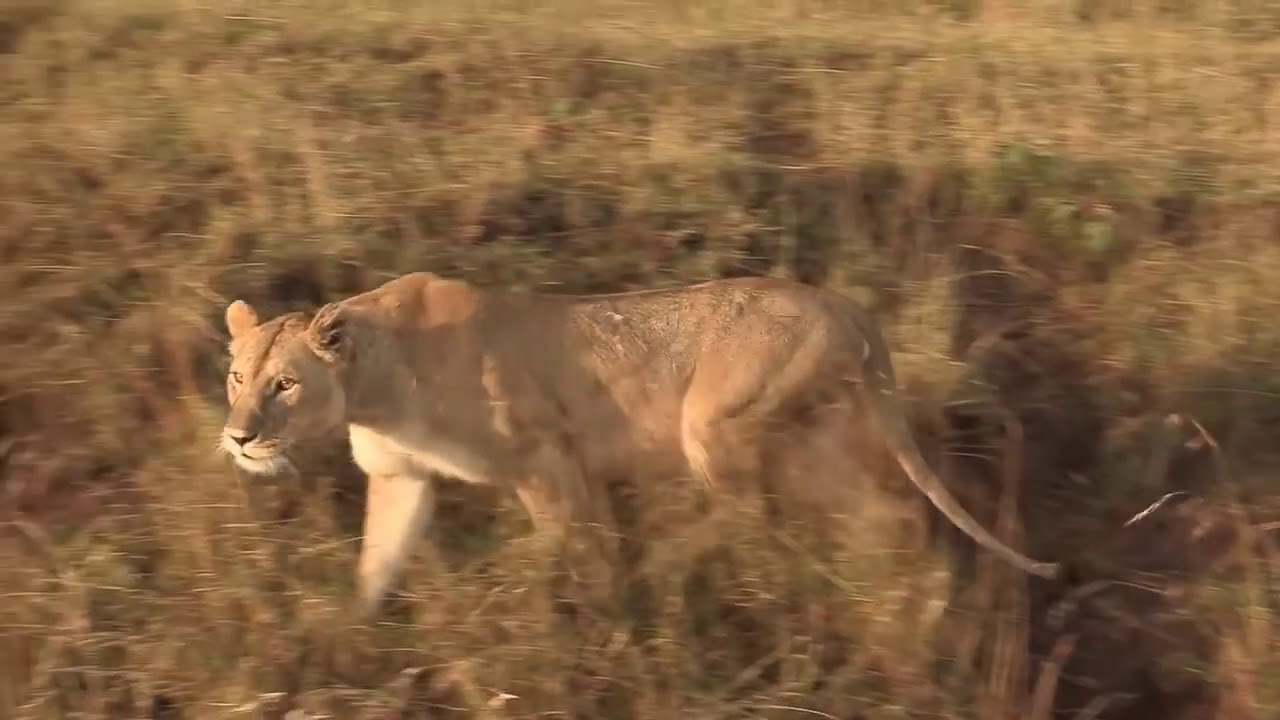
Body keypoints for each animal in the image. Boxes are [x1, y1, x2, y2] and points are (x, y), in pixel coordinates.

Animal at [219, 271, 1060, 619]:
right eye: (235, 376)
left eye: (285, 384)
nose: (239, 437)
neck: (374, 388)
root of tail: (845, 305)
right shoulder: (403, 478)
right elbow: (377, 563)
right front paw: (347, 641)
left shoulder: (548, 460)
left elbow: (574, 549)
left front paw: (597, 613)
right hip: (808, 435)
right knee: (885, 515)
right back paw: (909, 598)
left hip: (718, 423)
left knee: (756, 519)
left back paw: (678, 559)